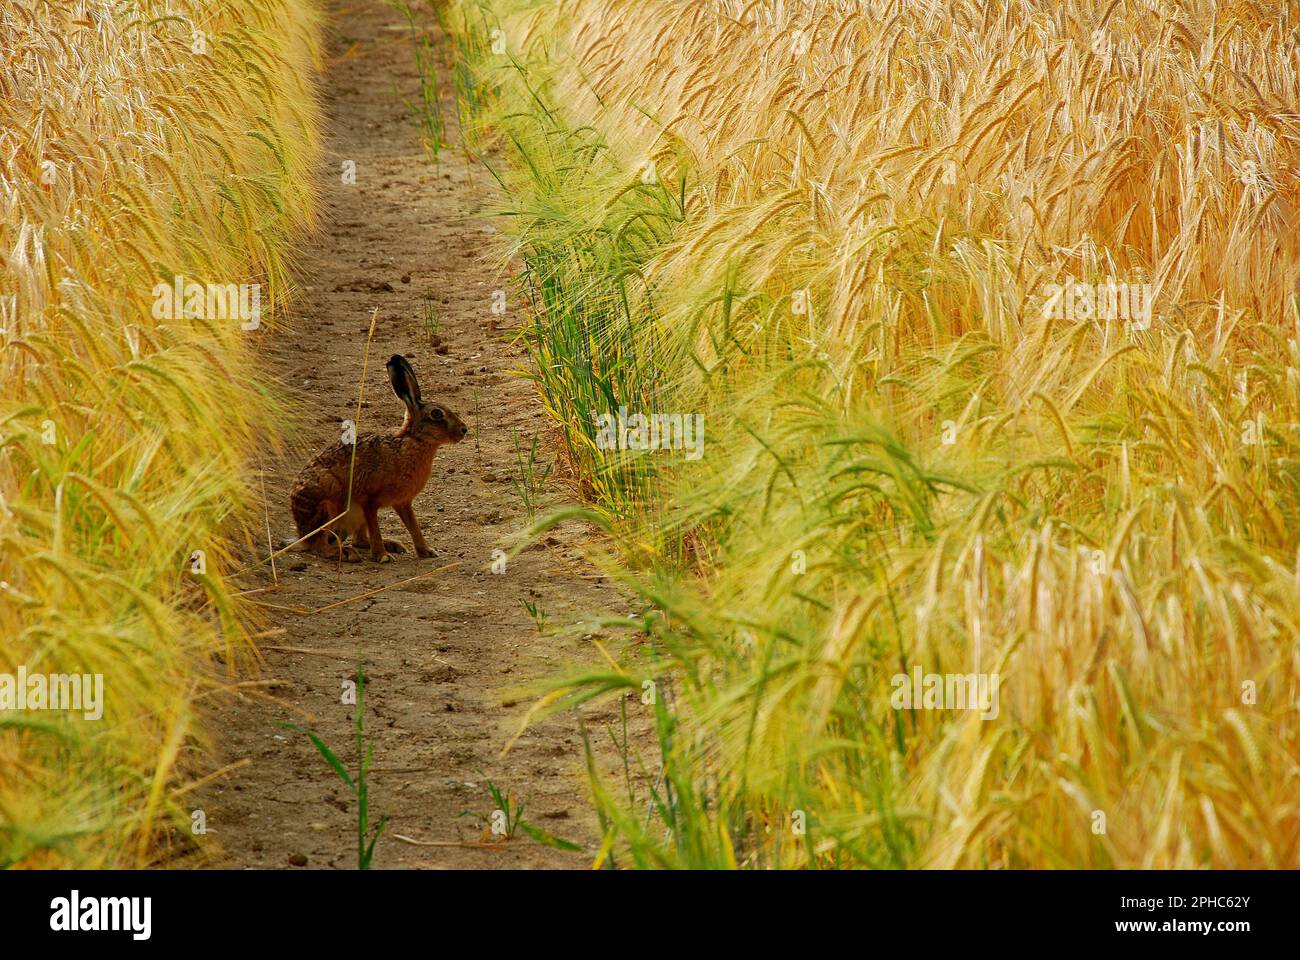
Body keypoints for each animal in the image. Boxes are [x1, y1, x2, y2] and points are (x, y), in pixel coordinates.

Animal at [290, 355, 467, 563]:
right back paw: (346, 553)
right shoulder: (369, 500)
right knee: (319, 546)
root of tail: (301, 534)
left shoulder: (403, 502)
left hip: (353, 516)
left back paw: (392, 545)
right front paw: (382, 556)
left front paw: (427, 551)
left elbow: (413, 526)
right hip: (329, 508)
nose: (464, 430)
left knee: (359, 540)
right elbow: (376, 529)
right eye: (437, 414)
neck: (412, 441)